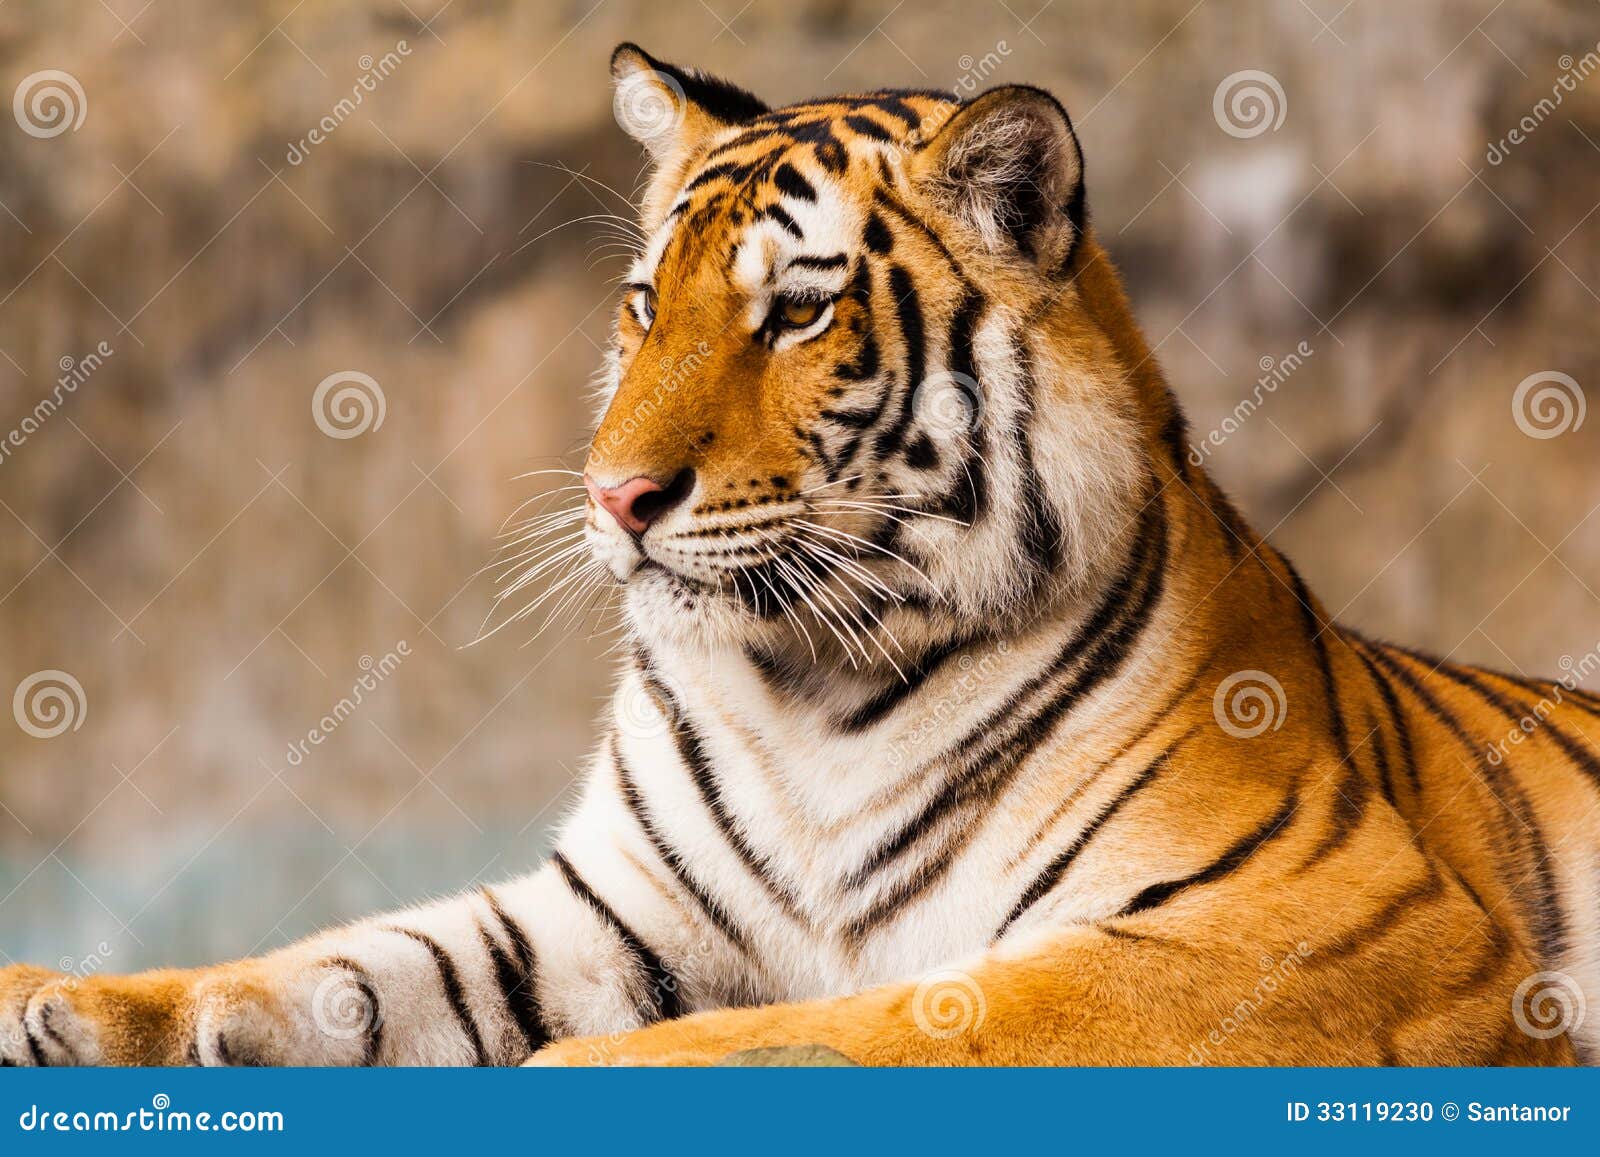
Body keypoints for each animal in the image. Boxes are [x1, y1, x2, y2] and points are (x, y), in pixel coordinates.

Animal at [3, 43, 1597, 1068]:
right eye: (647, 303)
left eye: (793, 314)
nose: (615, 495)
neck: (813, 686)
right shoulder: (601, 914)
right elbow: (347, 961)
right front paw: (65, 1005)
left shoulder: (1321, 923)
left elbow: (892, 1016)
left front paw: (591, 1075)